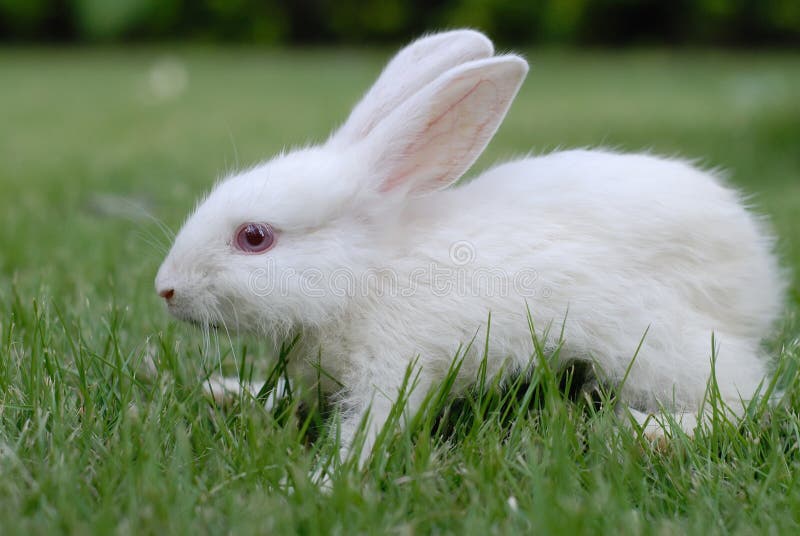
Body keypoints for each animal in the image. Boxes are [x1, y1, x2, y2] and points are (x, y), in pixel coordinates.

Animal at [155, 29, 786, 466]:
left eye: (254, 238)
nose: (165, 290)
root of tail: (759, 282)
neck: (366, 274)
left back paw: (643, 433)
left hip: (653, 343)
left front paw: (320, 484)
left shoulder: (396, 366)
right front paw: (226, 393)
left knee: (750, 400)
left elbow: (369, 428)